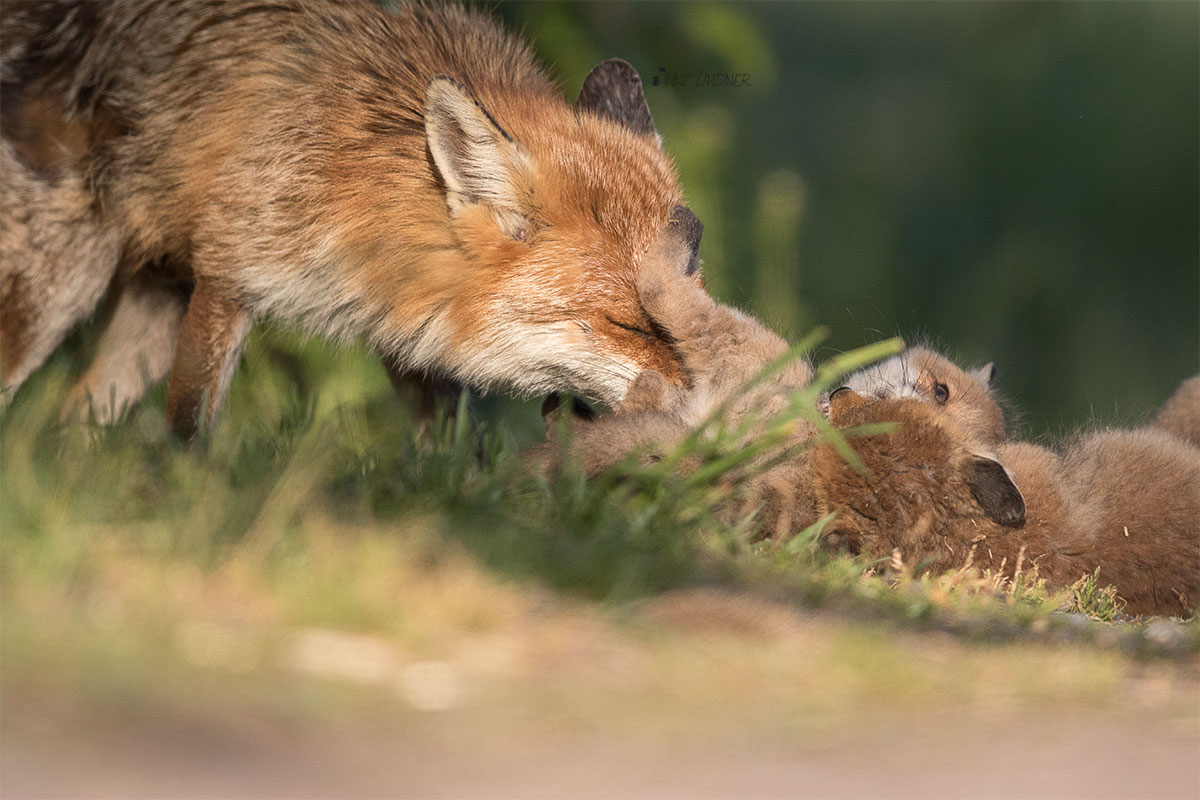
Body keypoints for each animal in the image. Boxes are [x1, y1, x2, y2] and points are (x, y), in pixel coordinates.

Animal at [0, 0, 704, 436]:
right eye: (626, 324)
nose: (717, 409)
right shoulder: (233, 268)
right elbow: (189, 427)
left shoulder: (412, 326)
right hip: (61, 289)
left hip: (151, 314)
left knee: (73, 422)